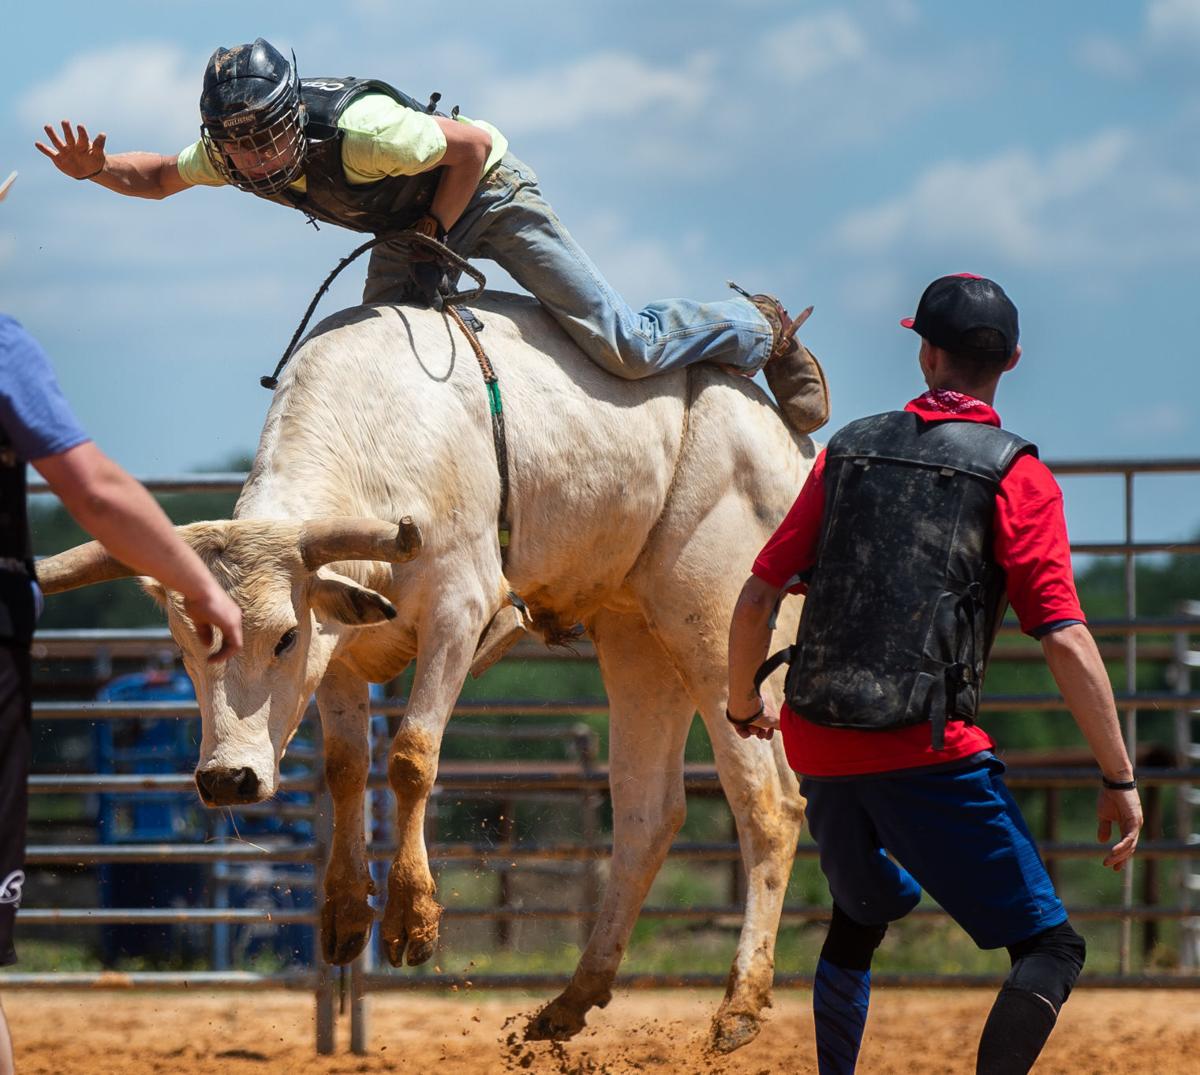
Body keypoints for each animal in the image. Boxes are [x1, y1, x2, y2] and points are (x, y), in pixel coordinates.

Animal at [37, 293, 814, 1052]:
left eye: (285, 637)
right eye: (185, 648)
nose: (228, 779)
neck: (379, 437)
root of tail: (785, 442)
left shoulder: (455, 613)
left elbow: (411, 755)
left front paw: (412, 918)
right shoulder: (342, 649)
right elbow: (346, 767)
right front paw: (346, 913)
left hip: (716, 624)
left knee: (768, 801)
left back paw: (739, 1005)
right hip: (637, 636)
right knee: (648, 812)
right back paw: (571, 1000)